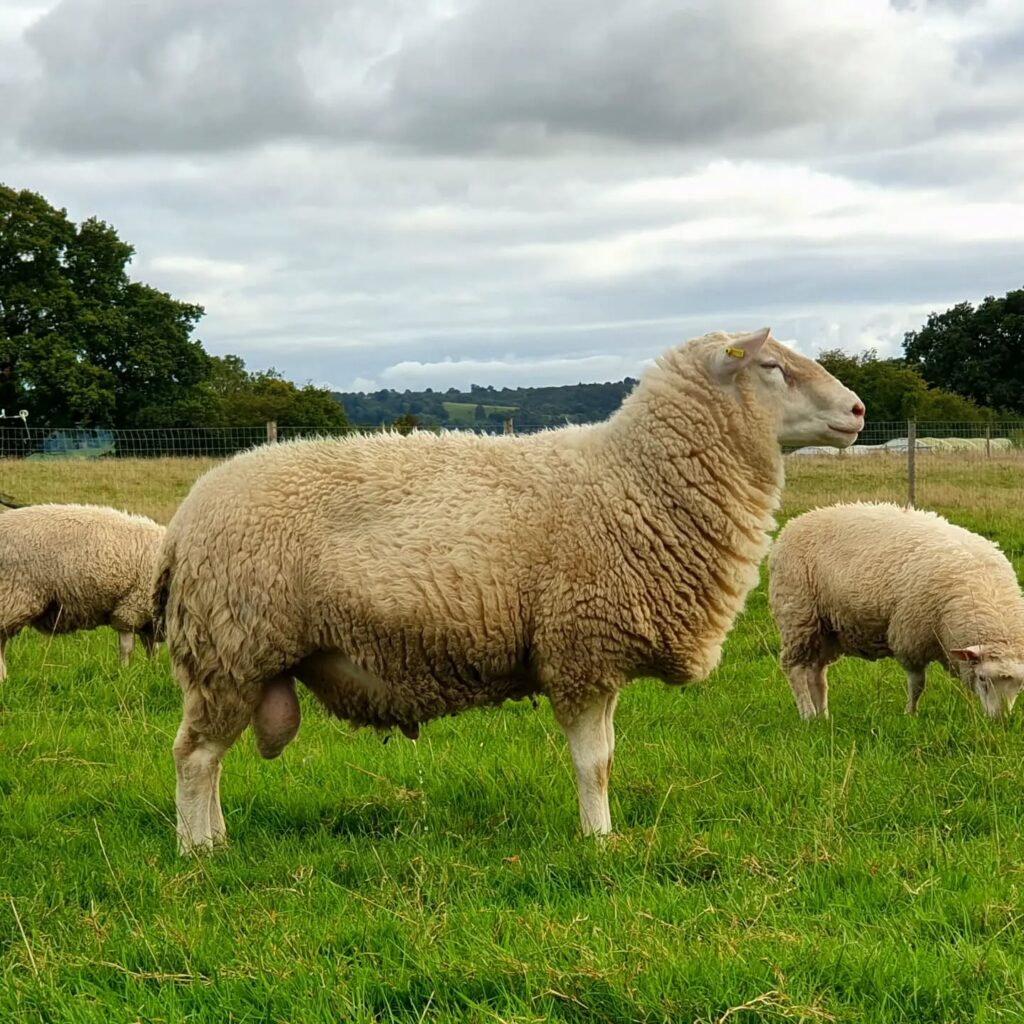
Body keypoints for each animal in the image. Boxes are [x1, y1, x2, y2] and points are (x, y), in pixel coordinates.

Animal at [0, 503, 165, 679]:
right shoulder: (130, 609)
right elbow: (127, 649)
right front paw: (124, 673)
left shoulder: (147, 618)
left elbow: (152, 649)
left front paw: (153, 671)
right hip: (12, 596)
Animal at [155, 327, 865, 854]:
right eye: (772, 366)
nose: (858, 410)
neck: (634, 481)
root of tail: (185, 521)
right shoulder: (579, 650)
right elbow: (593, 764)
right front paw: (599, 842)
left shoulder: (598, 656)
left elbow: (607, 759)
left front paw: (603, 835)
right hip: (233, 648)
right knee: (194, 757)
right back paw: (198, 852)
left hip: (235, 659)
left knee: (210, 757)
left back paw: (217, 839)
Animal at [768, 502, 1024, 720]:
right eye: (982, 678)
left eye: (1020, 683)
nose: (1000, 720)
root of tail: (793, 524)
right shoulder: (910, 637)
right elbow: (917, 684)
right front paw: (910, 714)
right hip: (797, 614)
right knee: (794, 669)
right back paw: (808, 714)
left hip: (826, 627)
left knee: (817, 673)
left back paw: (823, 716)